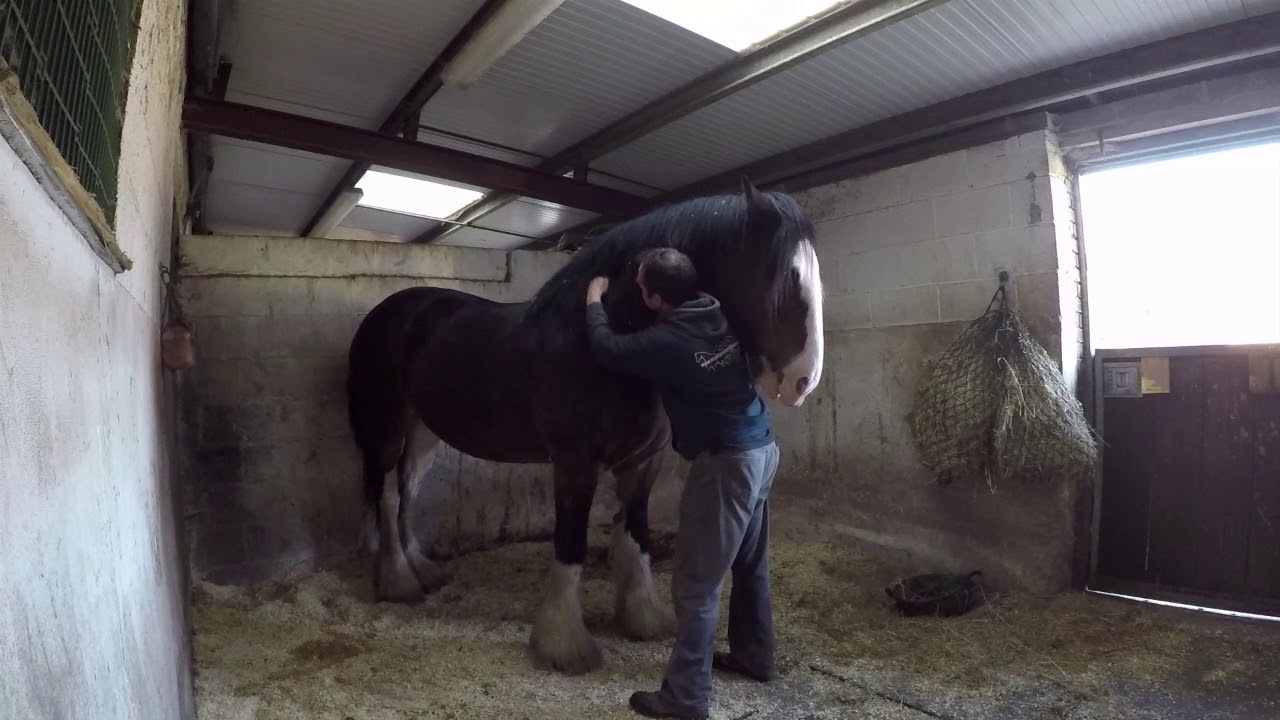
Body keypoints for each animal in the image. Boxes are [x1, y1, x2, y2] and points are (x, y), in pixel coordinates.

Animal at [345, 179, 824, 675]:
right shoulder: (575, 462)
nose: (803, 381)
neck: (606, 347)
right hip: (387, 424)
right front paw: (564, 645)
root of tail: (389, 313)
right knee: (387, 493)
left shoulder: (642, 463)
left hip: (423, 431)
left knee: (408, 489)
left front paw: (642, 618)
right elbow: (571, 543)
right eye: (789, 278)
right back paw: (399, 583)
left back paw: (422, 570)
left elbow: (635, 537)